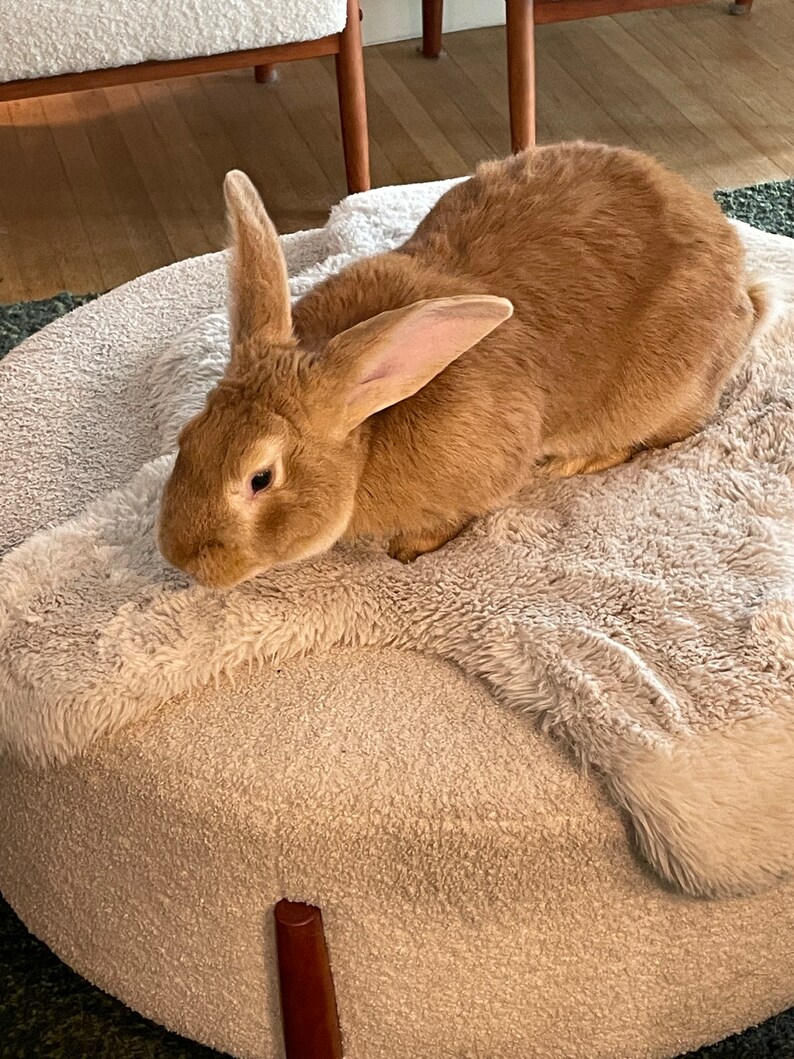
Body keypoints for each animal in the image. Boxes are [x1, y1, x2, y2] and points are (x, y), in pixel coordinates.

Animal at [158, 141, 768, 589]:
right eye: (189, 435)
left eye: (260, 478)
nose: (180, 557)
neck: (366, 430)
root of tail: (743, 294)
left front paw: (408, 549)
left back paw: (569, 464)